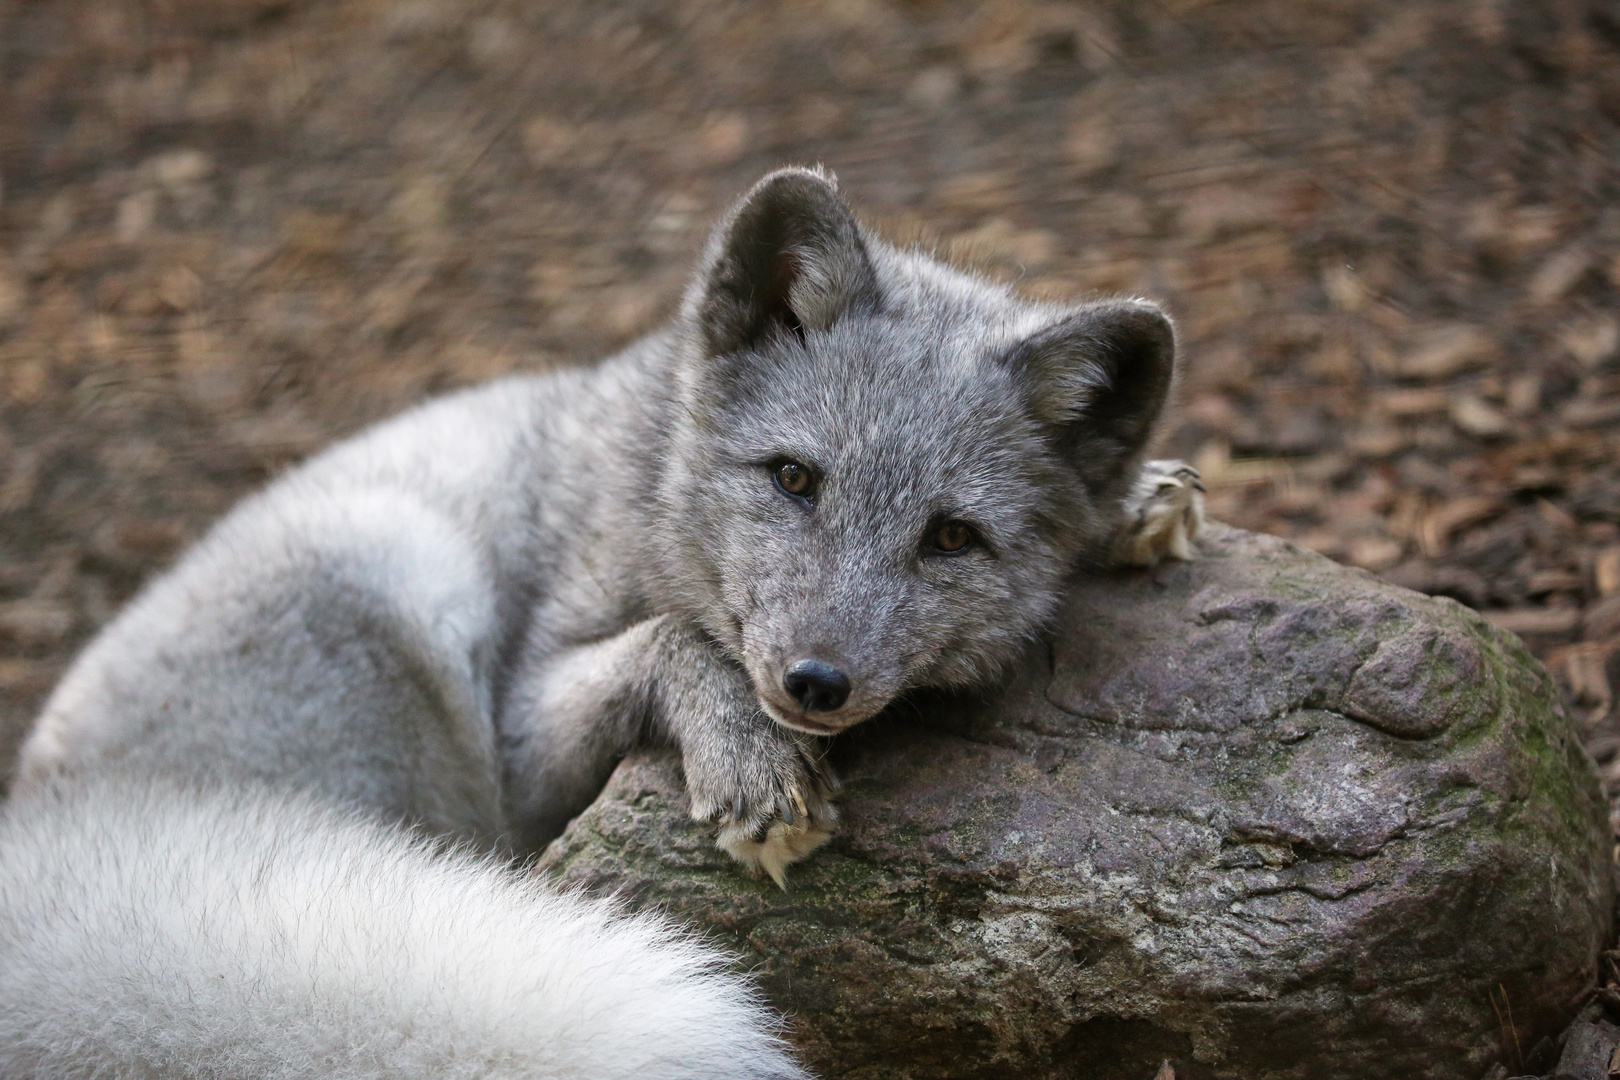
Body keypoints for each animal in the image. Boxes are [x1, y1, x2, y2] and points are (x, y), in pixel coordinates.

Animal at [0, 167, 1202, 1079]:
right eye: (794, 478)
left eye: (952, 538)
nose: (814, 684)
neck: (650, 475)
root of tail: (51, 806)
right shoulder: (524, 733)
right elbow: (671, 640)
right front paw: (749, 761)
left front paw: (1134, 505)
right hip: (399, 575)